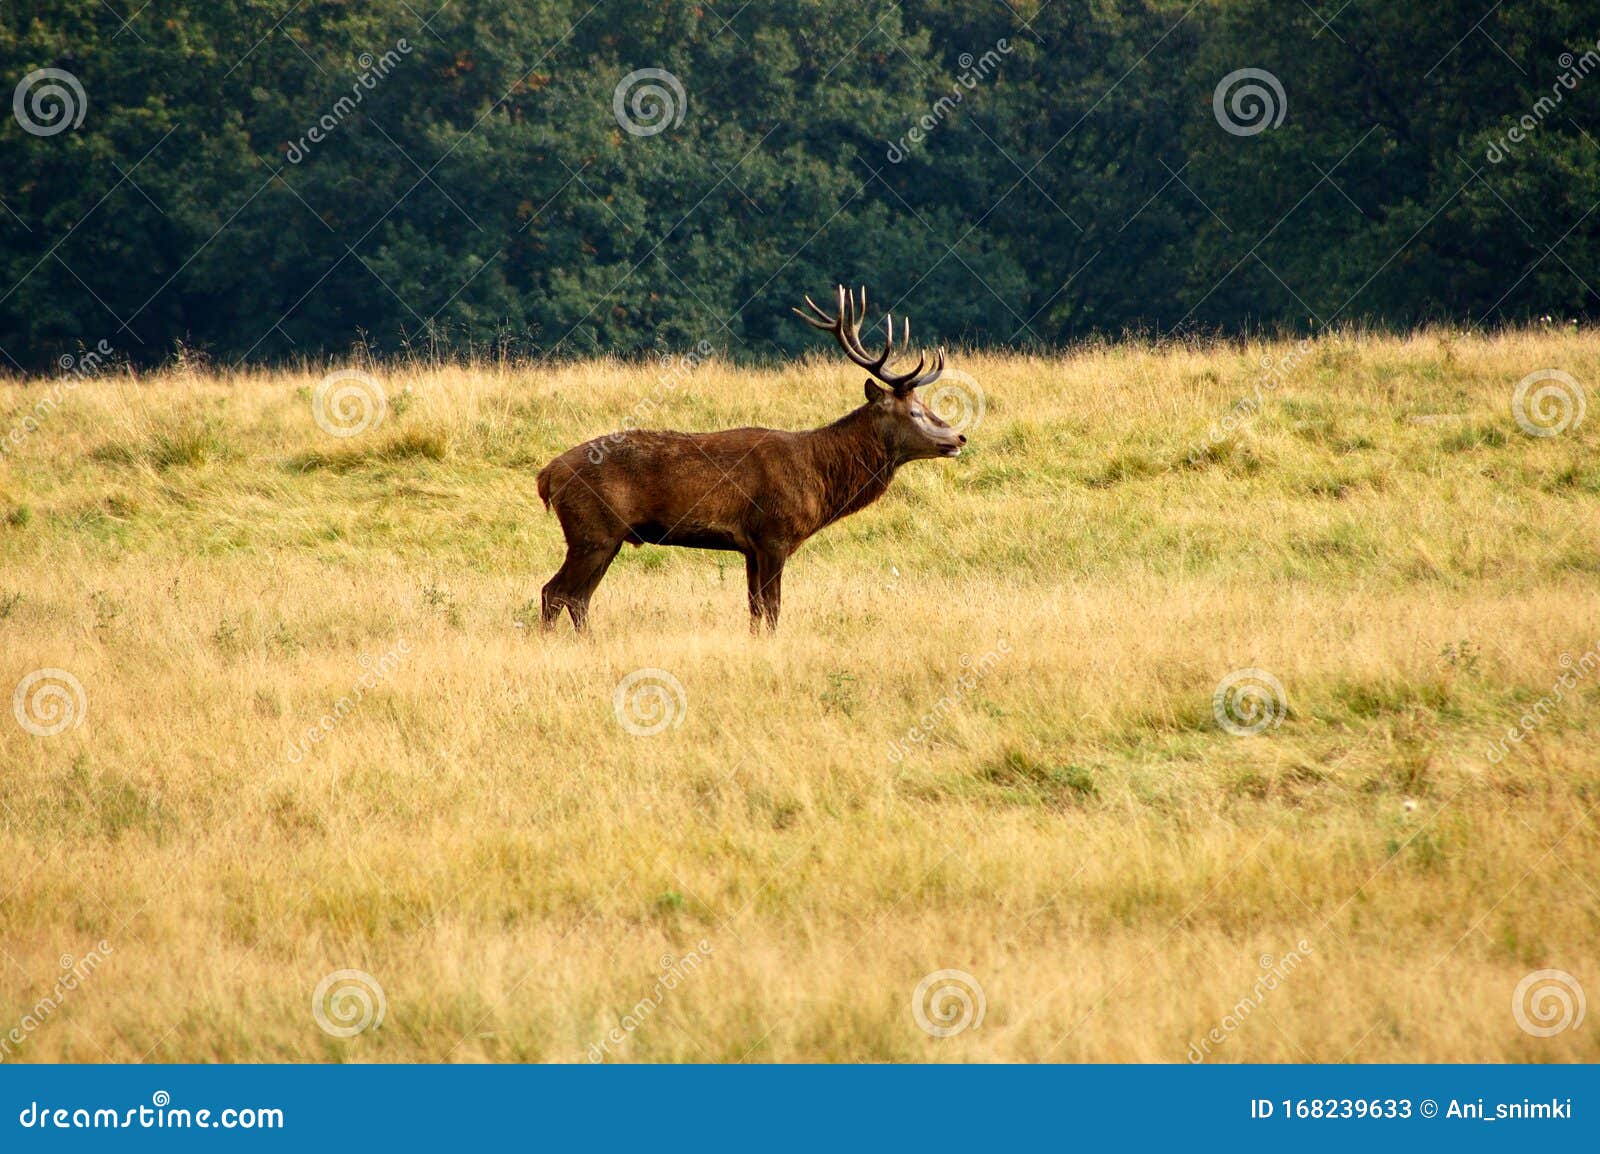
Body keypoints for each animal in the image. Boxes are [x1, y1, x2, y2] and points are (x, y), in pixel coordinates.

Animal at [534, 286, 966, 632]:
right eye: (915, 411)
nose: (959, 437)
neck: (819, 478)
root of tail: (548, 474)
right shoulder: (773, 533)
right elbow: (772, 609)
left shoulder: (749, 547)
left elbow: (755, 609)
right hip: (592, 528)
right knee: (555, 592)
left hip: (607, 537)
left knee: (578, 598)